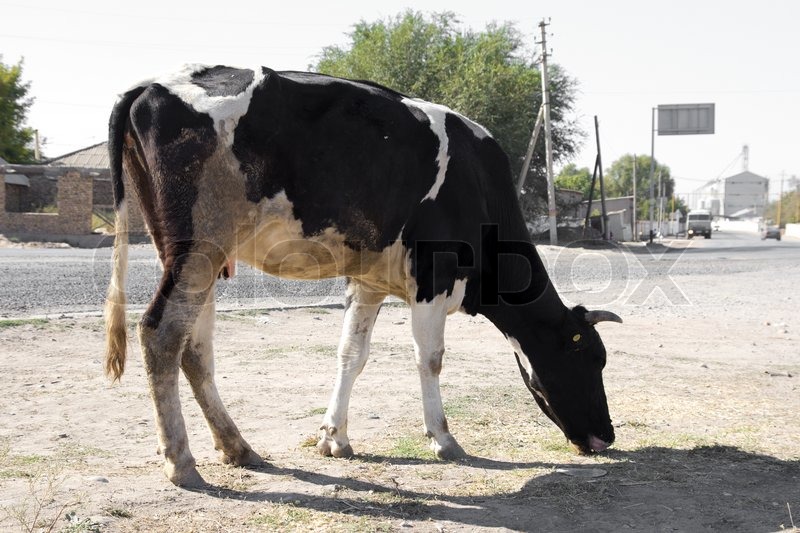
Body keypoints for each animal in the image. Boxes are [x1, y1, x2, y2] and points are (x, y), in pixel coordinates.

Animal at [104, 64, 622, 487]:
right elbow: (430, 358)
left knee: (194, 349)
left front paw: (334, 437)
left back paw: (238, 447)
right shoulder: (434, 273)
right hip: (199, 246)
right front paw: (443, 439)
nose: (608, 436)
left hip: (198, 256)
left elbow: (351, 355)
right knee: (161, 332)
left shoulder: (369, 281)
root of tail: (150, 86)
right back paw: (181, 461)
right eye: (590, 359)